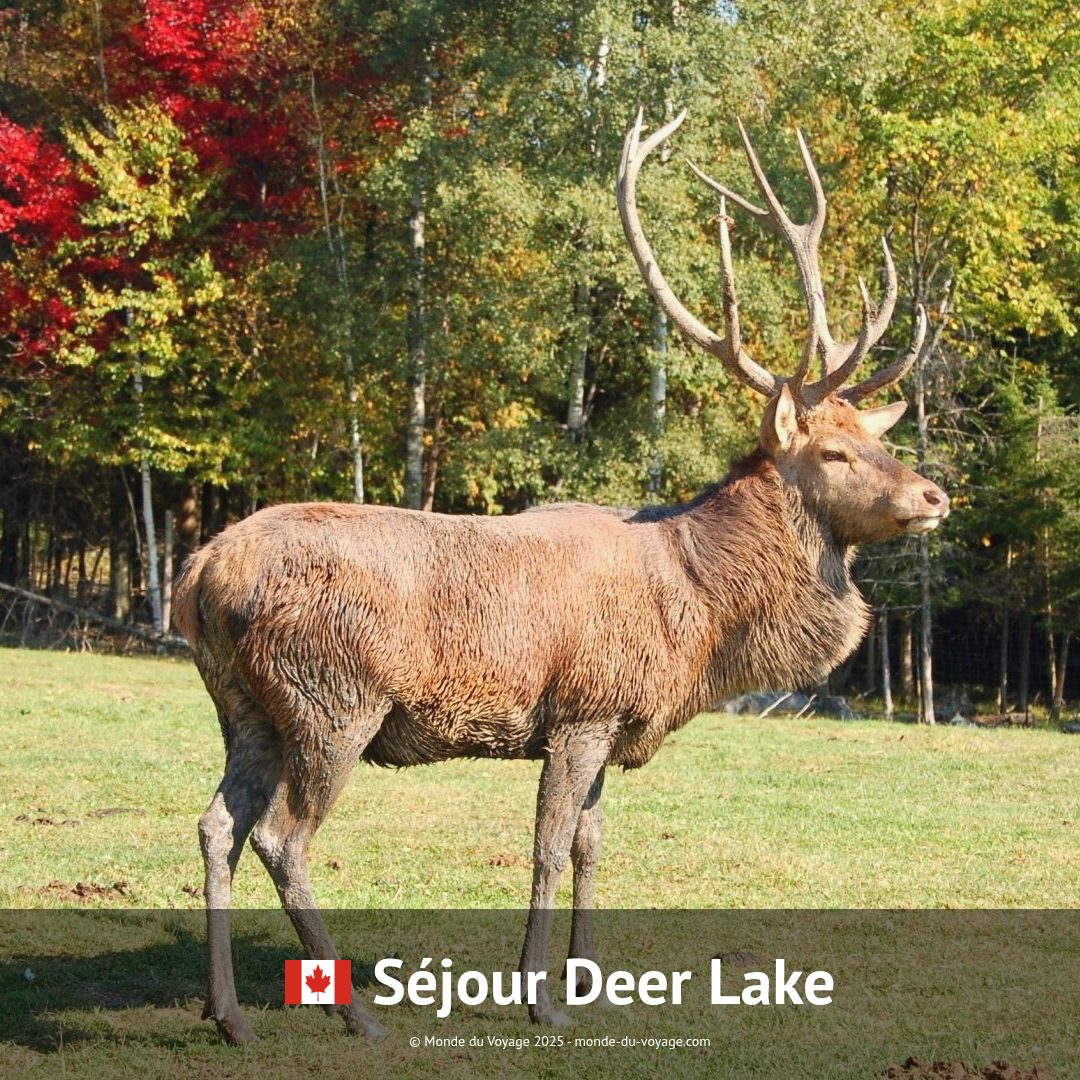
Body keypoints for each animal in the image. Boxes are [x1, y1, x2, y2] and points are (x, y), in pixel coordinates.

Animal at [174, 109, 949, 1043]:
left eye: (875, 437)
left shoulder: (615, 719)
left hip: (245, 705)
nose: (934, 494)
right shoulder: (583, 710)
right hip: (334, 698)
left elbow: (590, 843)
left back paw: (227, 1012)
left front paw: (590, 982)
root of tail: (198, 575)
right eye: (834, 452)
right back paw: (356, 1011)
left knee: (217, 822)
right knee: (281, 835)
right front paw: (540, 997)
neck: (697, 614)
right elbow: (546, 845)